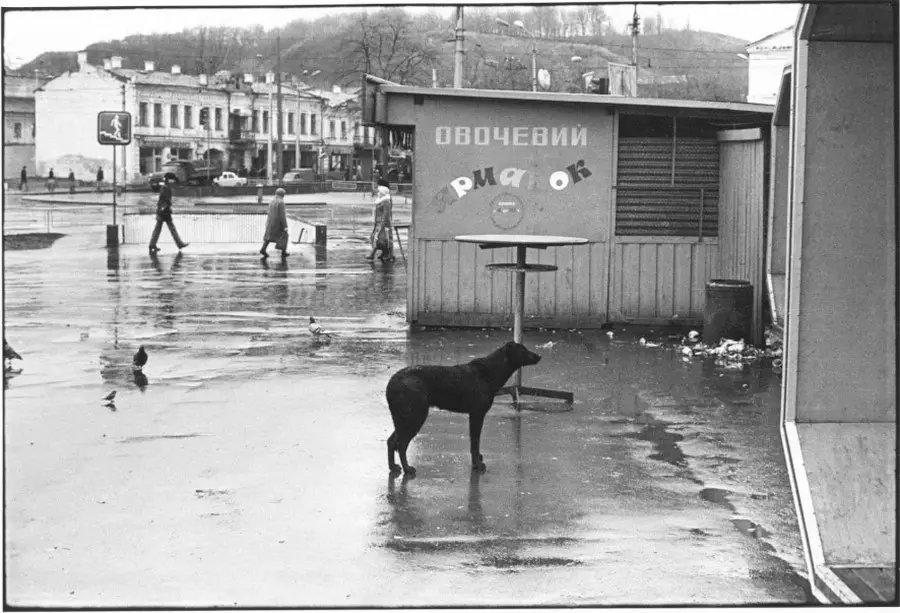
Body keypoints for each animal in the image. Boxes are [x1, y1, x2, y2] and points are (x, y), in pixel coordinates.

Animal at [386, 342, 540, 476]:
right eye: (523, 350)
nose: (539, 356)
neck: (489, 373)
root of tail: (391, 384)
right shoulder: (477, 414)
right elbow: (475, 443)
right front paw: (478, 464)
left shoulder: (475, 415)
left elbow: (475, 443)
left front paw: (477, 462)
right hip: (415, 416)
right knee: (401, 444)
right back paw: (407, 469)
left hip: (403, 418)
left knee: (391, 441)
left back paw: (393, 467)